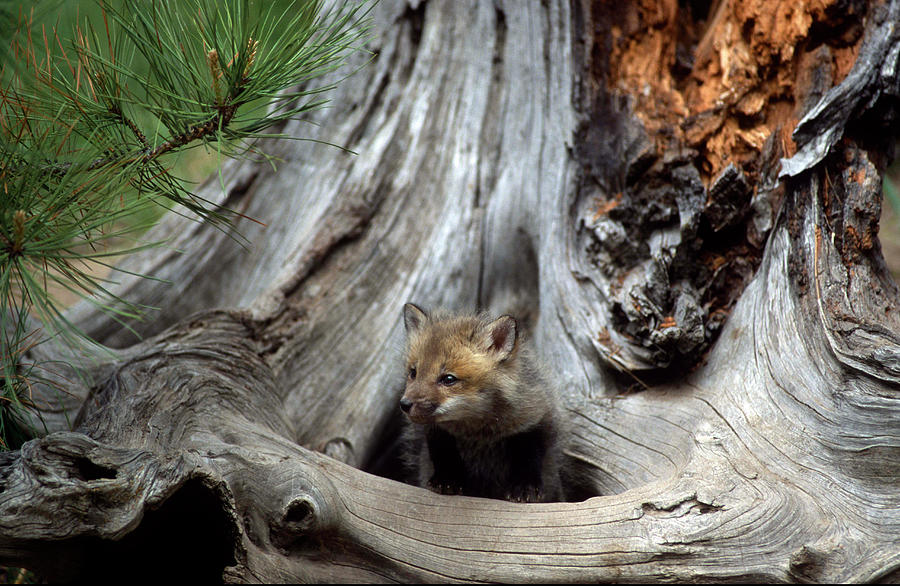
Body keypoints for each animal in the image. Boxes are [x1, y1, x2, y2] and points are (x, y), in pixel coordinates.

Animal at [399, 303, 561, 503]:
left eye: (448, 379)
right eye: (413, 372)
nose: (404, 404)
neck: (478, 432)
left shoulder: (533, 422)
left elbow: (529, 458)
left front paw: (525, 487)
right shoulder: (439, 433)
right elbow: (443, 454)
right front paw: (447, 479)